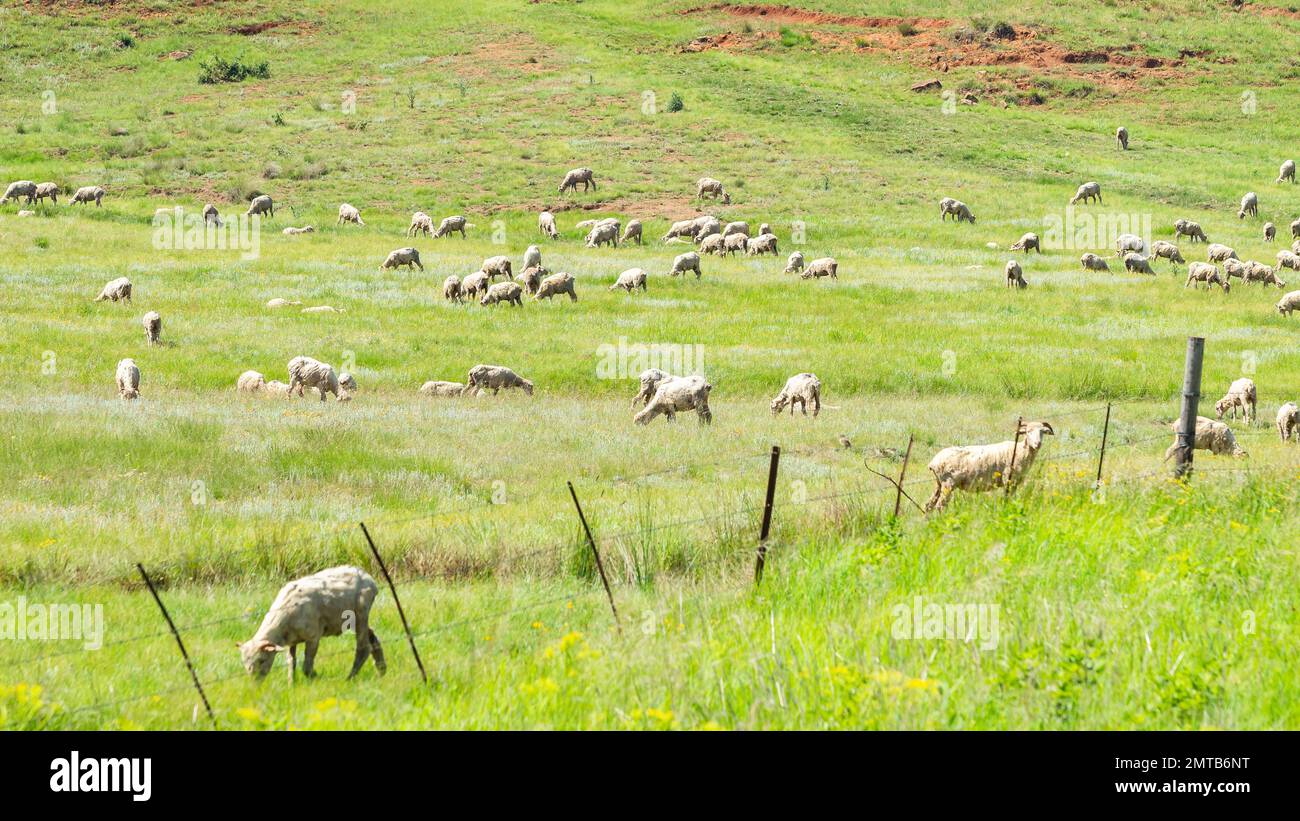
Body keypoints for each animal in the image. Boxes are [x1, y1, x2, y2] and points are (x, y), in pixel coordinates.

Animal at [239, 566, 385, 681]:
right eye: (244, 662)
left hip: (361, 613)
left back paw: (350, 678)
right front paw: (291, 683)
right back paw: (381, 669)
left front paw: (315, 677)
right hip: (352, 620)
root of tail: (368, 578)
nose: (255, 683)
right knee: (373, 638)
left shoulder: (313, 636)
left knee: (363, 647)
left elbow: (307, 665)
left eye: (262, 660)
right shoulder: (291, 641)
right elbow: (291, 662)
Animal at [923, 420, 1055, 512]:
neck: (1020, 451)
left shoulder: (1015, 482)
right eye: (1028, 431)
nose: (1038, 444)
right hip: (948, 483)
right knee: (940, 506)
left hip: (939, 483)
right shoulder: (1008, 479)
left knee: (929, 505)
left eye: (1042, 432)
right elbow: (1007, 499)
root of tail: (933, 462)